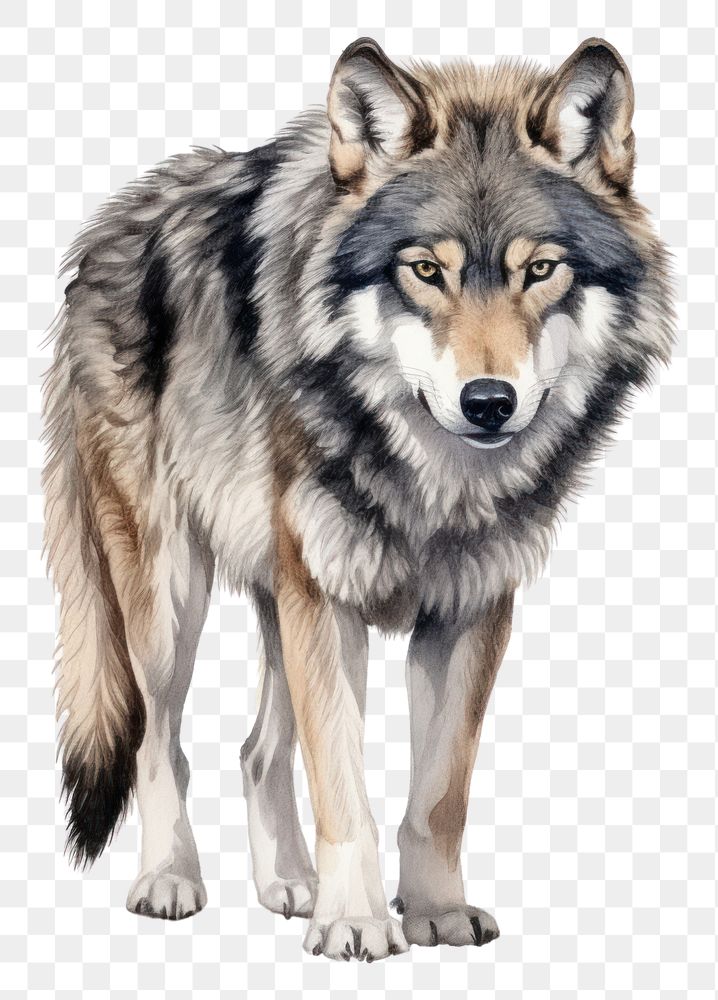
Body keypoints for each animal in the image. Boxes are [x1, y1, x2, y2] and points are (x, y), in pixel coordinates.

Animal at [43, 37, 673, 960]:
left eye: (540, 270)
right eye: (425, 271)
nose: (490, 402)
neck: (436, 482)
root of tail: (99, 238)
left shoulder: (470, 610)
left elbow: (440, 794)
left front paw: (435, 910)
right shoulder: (328, 603)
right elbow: (343, 787)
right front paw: (356, 922)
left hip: (274, 595)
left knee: (256, 751)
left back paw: (288, 885)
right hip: (169, 599)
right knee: (164, 742)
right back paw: (169, 880)